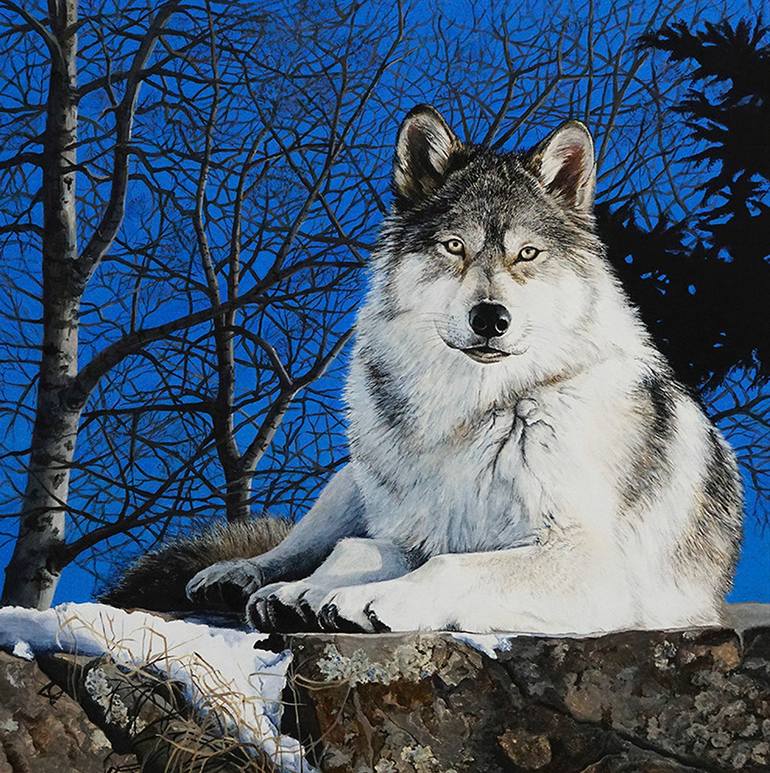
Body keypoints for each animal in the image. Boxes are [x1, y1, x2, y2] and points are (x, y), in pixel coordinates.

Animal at [185, 105, 743, 635]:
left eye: (527, 253)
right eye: (454, 246)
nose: (491, 318)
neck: (475, 413)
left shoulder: (592, 564)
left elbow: (448, 565)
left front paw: (364, 600)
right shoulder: (410, 531)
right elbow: (359, 549)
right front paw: (304, 592)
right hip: (350, 483)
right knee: (305, 544)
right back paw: (240, 576)